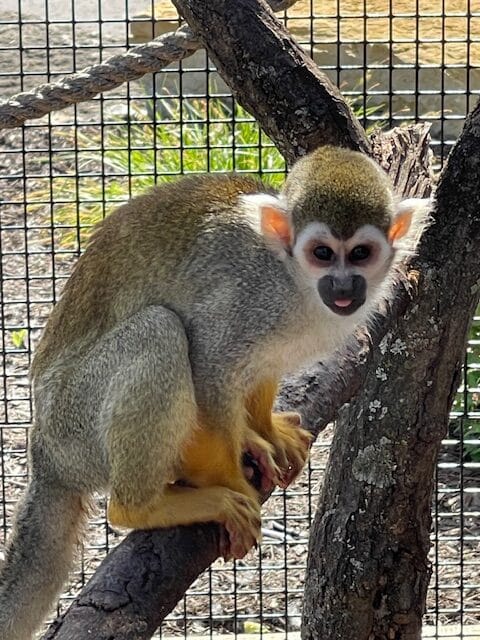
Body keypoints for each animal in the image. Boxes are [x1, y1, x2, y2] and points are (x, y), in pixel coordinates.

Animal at [0, 145, 430, 640]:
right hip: (75, 425)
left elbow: (264, 364)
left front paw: (262, 433)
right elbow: (205, 363)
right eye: (322, 254)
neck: (294, 281)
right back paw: (142, 507)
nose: (344, 285)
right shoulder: (248, 296)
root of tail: (44, 453)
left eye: (360, 254)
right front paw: (230, 483)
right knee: (160, 332)